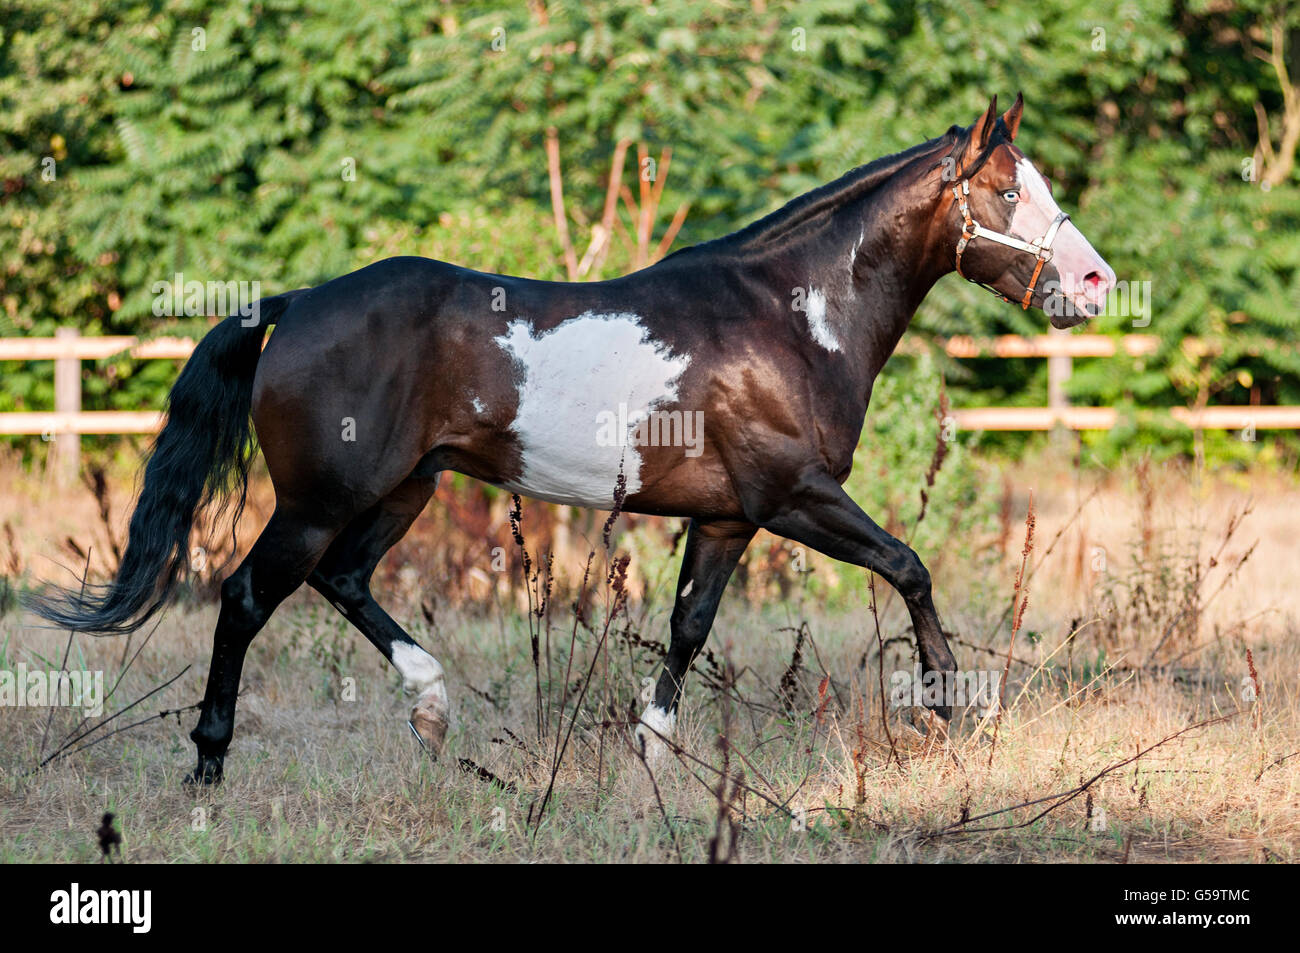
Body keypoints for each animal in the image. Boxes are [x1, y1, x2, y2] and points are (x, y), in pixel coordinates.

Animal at [29, 95, 1115, 783]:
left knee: (342, 580)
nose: (1096, 283)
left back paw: (431, 707)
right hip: (318, 499)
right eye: (1008, 192)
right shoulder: (795, 494)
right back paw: (210, 764)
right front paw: (945, 705)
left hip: (402, 490)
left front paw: (652, 748)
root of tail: (293, 304)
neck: (789, 315)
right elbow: (910, 565)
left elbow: (688, 624)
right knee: (249, 596)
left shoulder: (730, 517)